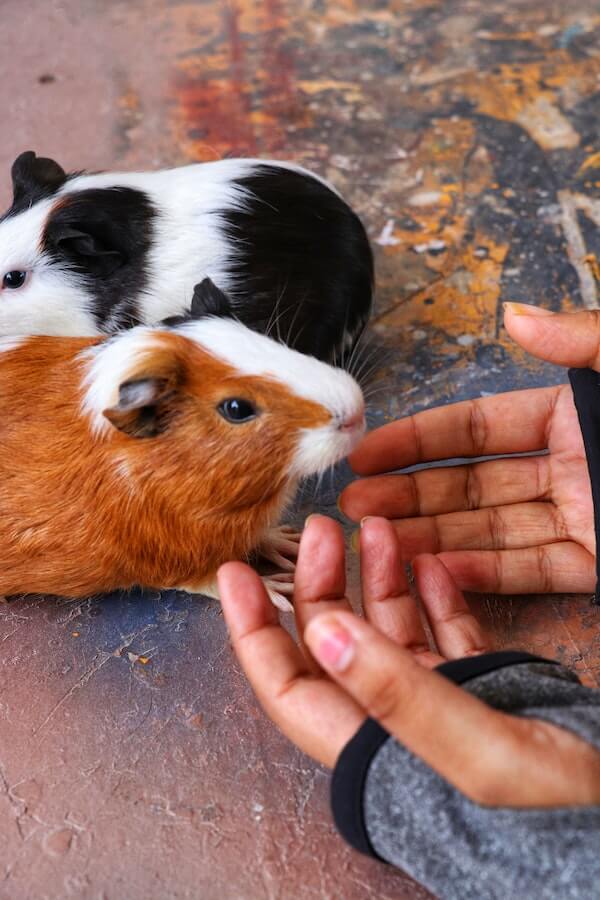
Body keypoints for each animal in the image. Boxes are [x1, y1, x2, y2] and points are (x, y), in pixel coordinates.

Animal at [0, 279, 365, 609]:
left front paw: (289, 543)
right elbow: (210, 578)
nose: (357, 411)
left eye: (271, 341)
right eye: (236, 408)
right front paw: (278, 591)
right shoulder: (172, 559)